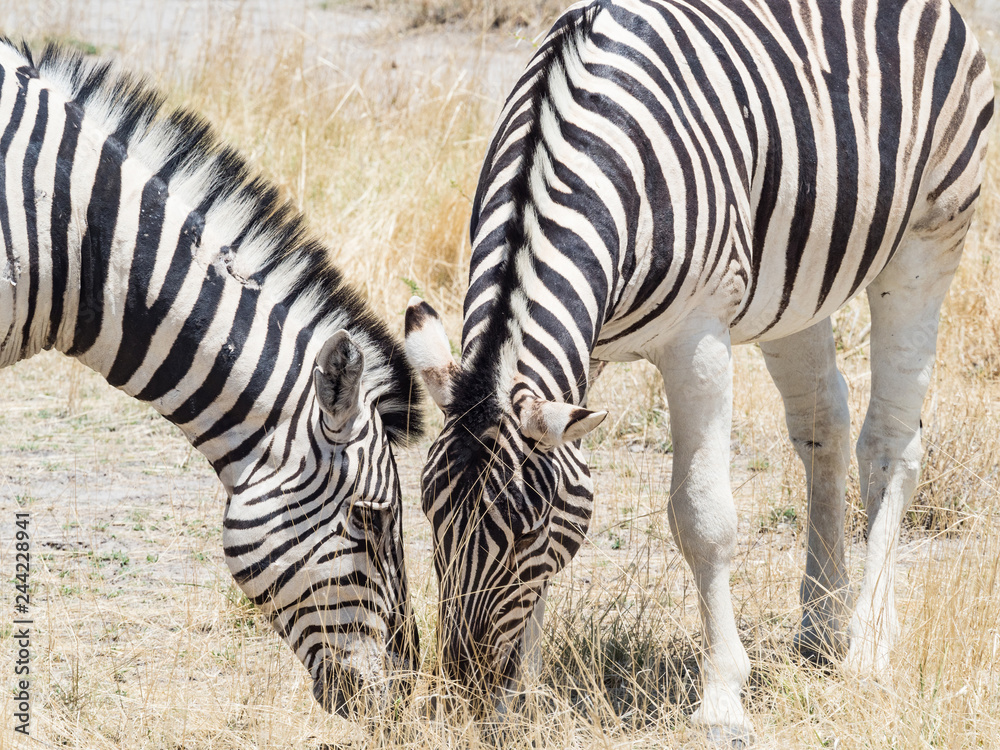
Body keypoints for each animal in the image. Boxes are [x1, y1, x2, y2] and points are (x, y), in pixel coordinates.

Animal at [403, 0, 993, 741]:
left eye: (530, 530)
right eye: (430, 516)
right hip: (794, 285)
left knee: (890, 446)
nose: (469, 689)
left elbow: (703, 518)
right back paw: (822, 627)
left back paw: (868, 647)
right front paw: (525, 700)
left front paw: (721, 701)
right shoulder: (589, 345)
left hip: (925, 243)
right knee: (822, 425)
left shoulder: (700, 337)